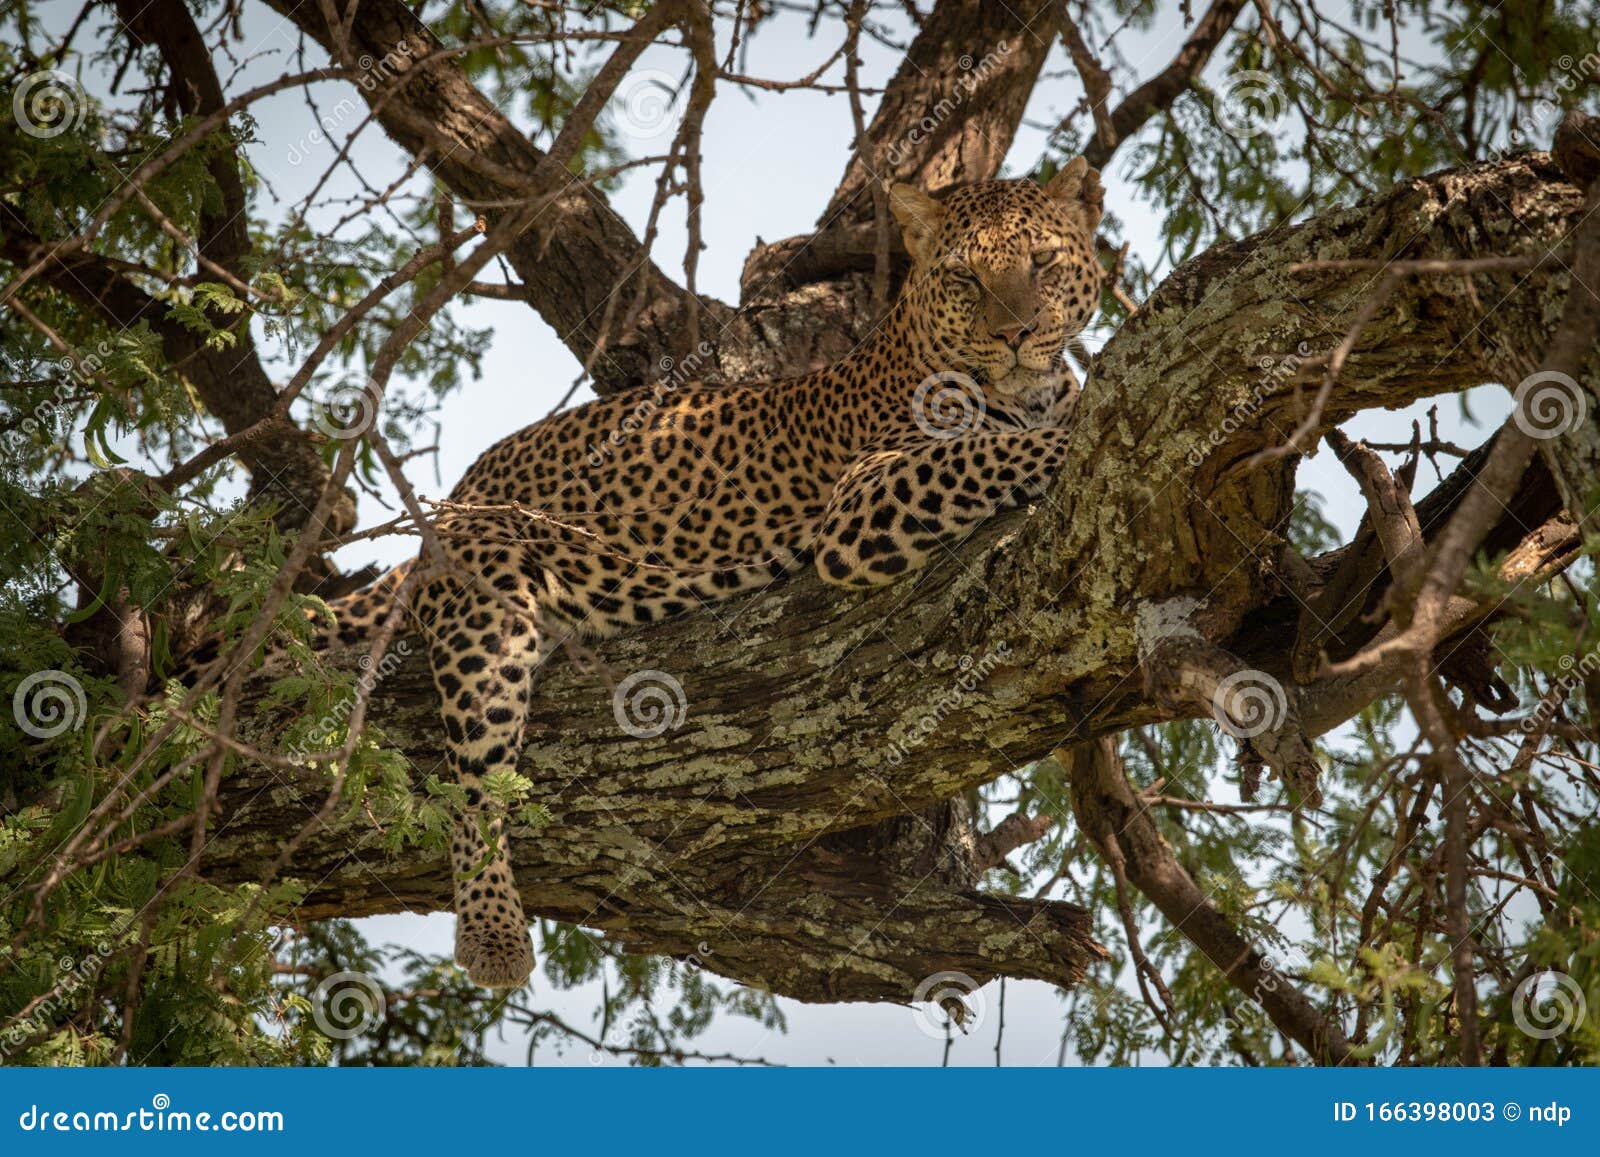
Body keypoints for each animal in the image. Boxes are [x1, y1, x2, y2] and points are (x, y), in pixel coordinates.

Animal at [320, 157, 1105, 989]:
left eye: (1043, 262)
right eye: (963, 276)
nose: (1014, 334)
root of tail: (457, 496)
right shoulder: (863, 500)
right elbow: (991, 449)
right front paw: (1063, 438)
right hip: (488, 607)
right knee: (476, 782)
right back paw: (492, 931)